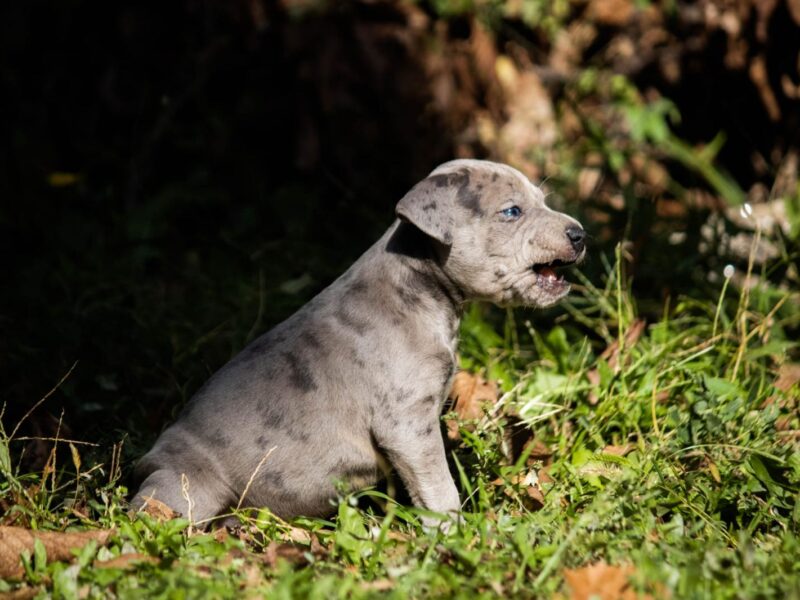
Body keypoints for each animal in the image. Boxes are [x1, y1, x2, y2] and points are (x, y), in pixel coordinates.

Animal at [134, 158, 584, 524]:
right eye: (512, 211)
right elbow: (439, 487)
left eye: (542, 201)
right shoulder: (407, 424)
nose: (580, 233)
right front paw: (454, 533)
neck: (419, 285)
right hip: (188, 487)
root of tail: (145, 462)